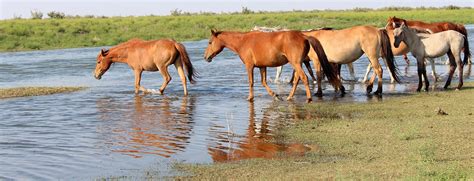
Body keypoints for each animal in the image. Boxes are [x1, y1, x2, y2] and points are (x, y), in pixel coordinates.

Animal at [204, 29, 340, 102]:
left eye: (210, 42)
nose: (205, 57)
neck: (242, 42)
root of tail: (303, 35)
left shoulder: (249, 66)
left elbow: (251, 82)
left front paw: (250, 97)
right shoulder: (262, 66)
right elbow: (264, 82)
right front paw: (276, 95)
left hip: (296, 63)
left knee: (304, 77)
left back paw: (309, 98)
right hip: (298, 63)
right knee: (297, 79)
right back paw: (289, 97)